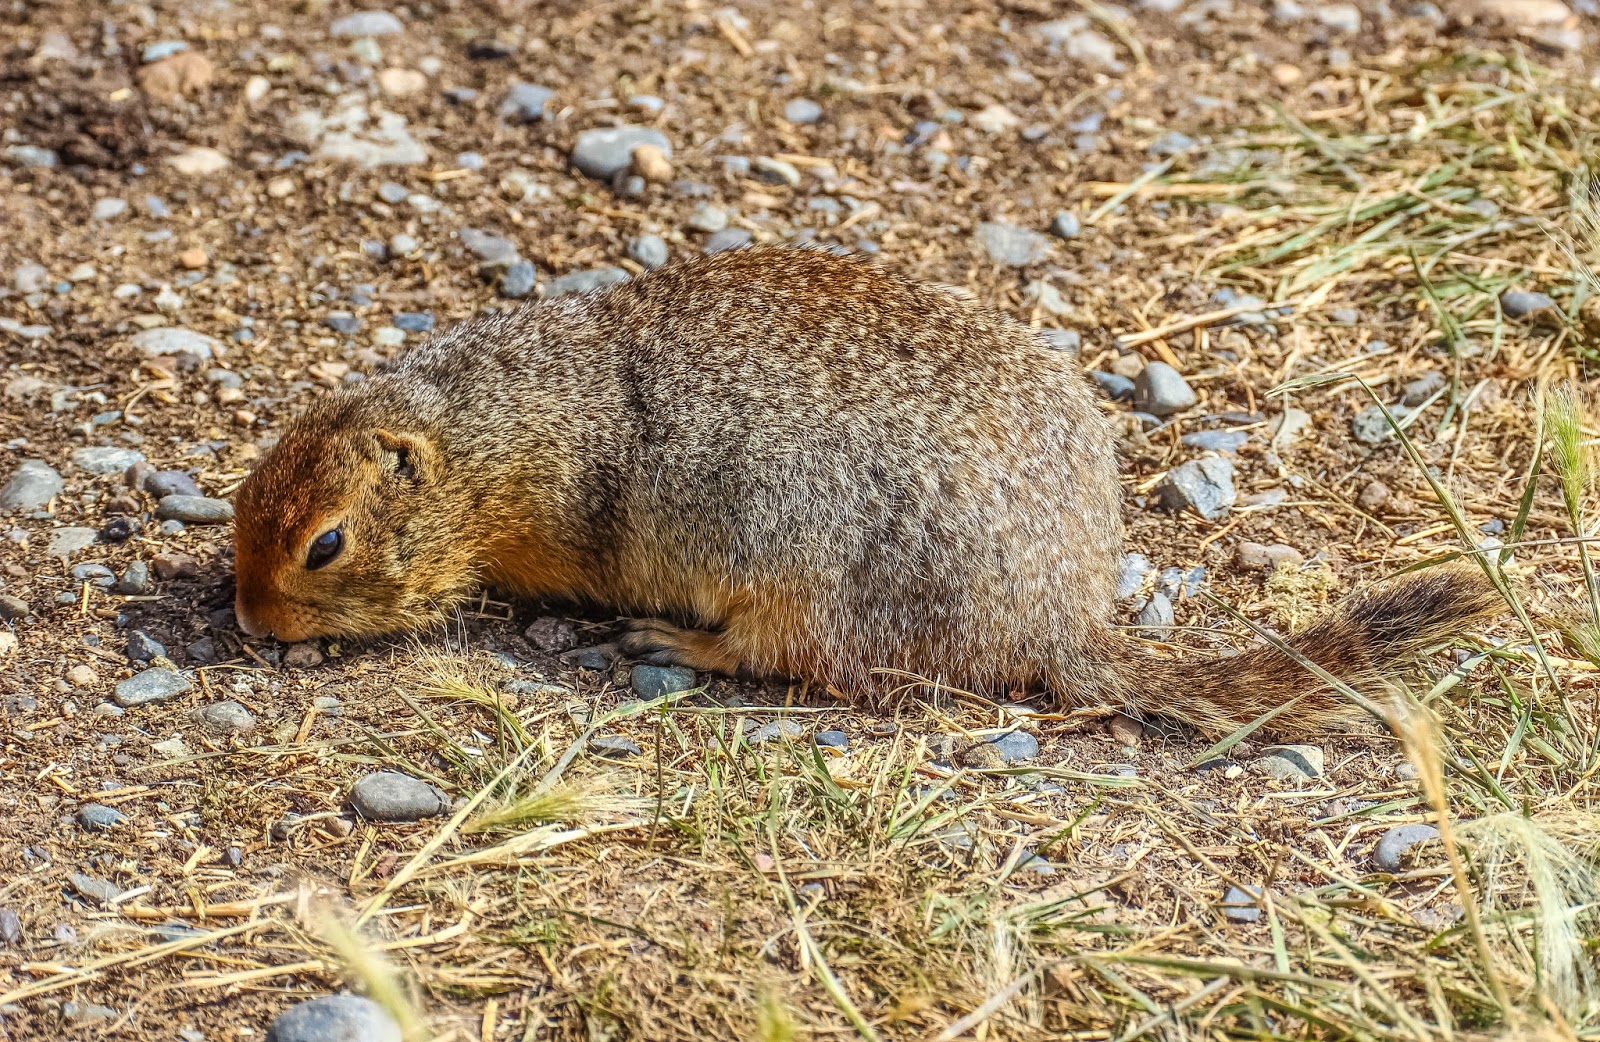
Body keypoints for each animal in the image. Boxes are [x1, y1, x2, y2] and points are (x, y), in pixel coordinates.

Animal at [233, 245, 1499, 737]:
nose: (247, 616)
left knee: (797, 661)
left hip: (807, 585)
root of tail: (1057, 612)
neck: (494, 432)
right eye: (245, 497)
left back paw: (671, 641)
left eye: (324, 544)